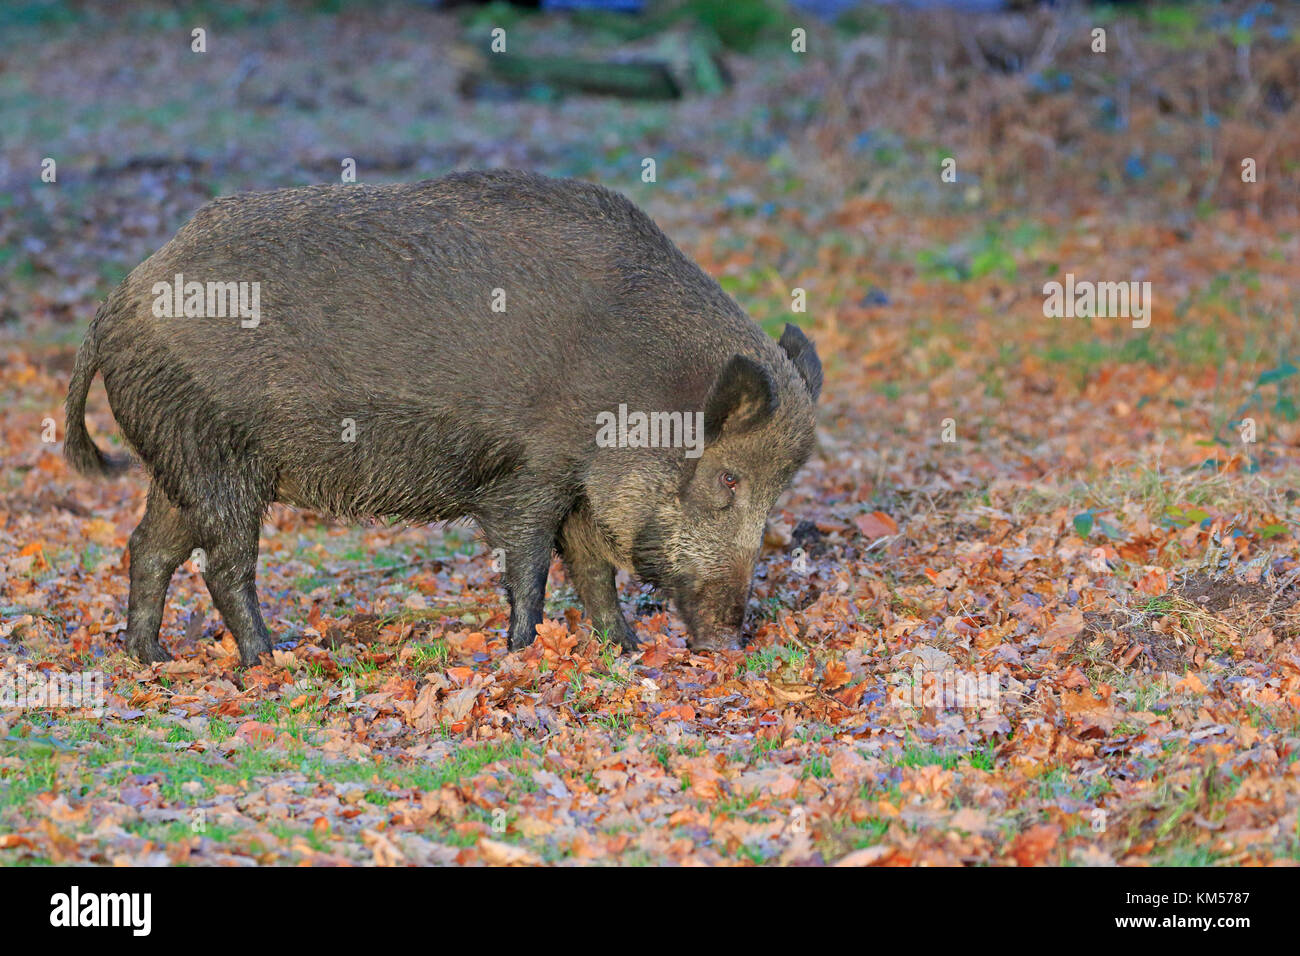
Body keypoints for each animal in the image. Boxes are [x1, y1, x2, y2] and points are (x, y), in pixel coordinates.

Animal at [64, 170, 822, 665]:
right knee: (222, 564)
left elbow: (591, 570)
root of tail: (116, 301)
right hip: (218, 459)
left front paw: (623, 649)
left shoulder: (576, 488)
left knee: (148, 547)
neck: (637, 387)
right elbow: (531, 567)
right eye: (728, 479)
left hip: (176, 461)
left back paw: (151, 658)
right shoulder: (530, 473)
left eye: (780, 487)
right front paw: (521, 653)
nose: (727, 642)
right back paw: (270, 658)